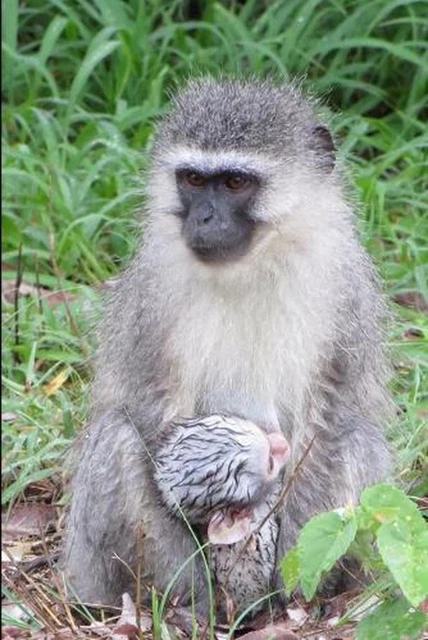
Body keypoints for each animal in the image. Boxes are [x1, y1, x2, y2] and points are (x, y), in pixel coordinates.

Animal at [62, 78, 393, 614]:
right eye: (194, 180)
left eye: (236, 182)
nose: (203, 219)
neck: (251, 267)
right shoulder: (152, 297)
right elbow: (152, 415)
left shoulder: (346, 294)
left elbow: (332, 412)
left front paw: (294, 562)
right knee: (116, 436)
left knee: (356, 437)